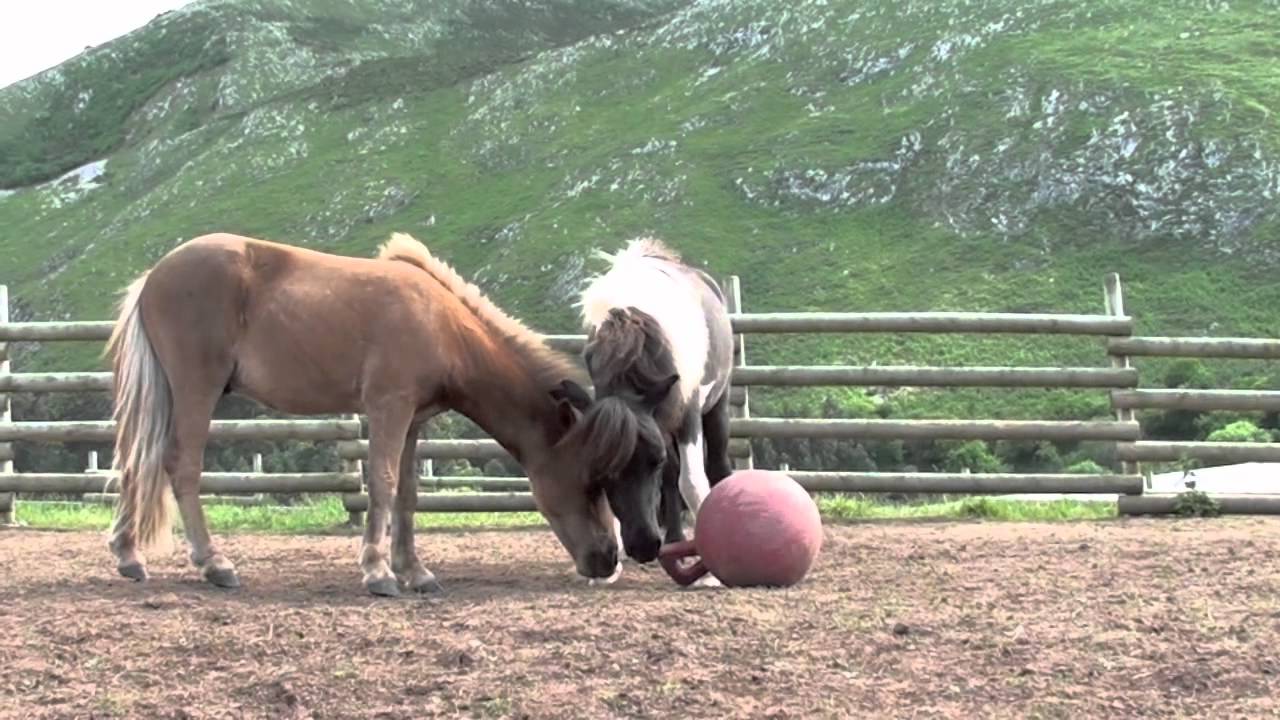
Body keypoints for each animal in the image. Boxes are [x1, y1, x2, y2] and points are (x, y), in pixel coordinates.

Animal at [103, 231, 617, 597]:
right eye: (591, 480)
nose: (608, 560)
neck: (441, 324)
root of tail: (153, 276)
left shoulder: (414, 419)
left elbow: (408, 494)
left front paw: (416, 572)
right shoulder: (388, 408)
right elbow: (383, 483)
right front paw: (378, 572)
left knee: (138, 461)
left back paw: (129, 557)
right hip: (198, 388)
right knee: (181, 465)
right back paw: (215, 564)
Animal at [572, 237, 736, 578]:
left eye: (653, 462)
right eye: (601, 470)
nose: (644, 546)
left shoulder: (688, 415)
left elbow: (691, 482)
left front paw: (709, 570)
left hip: (717, 405)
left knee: (716, 467)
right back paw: (673, 538)